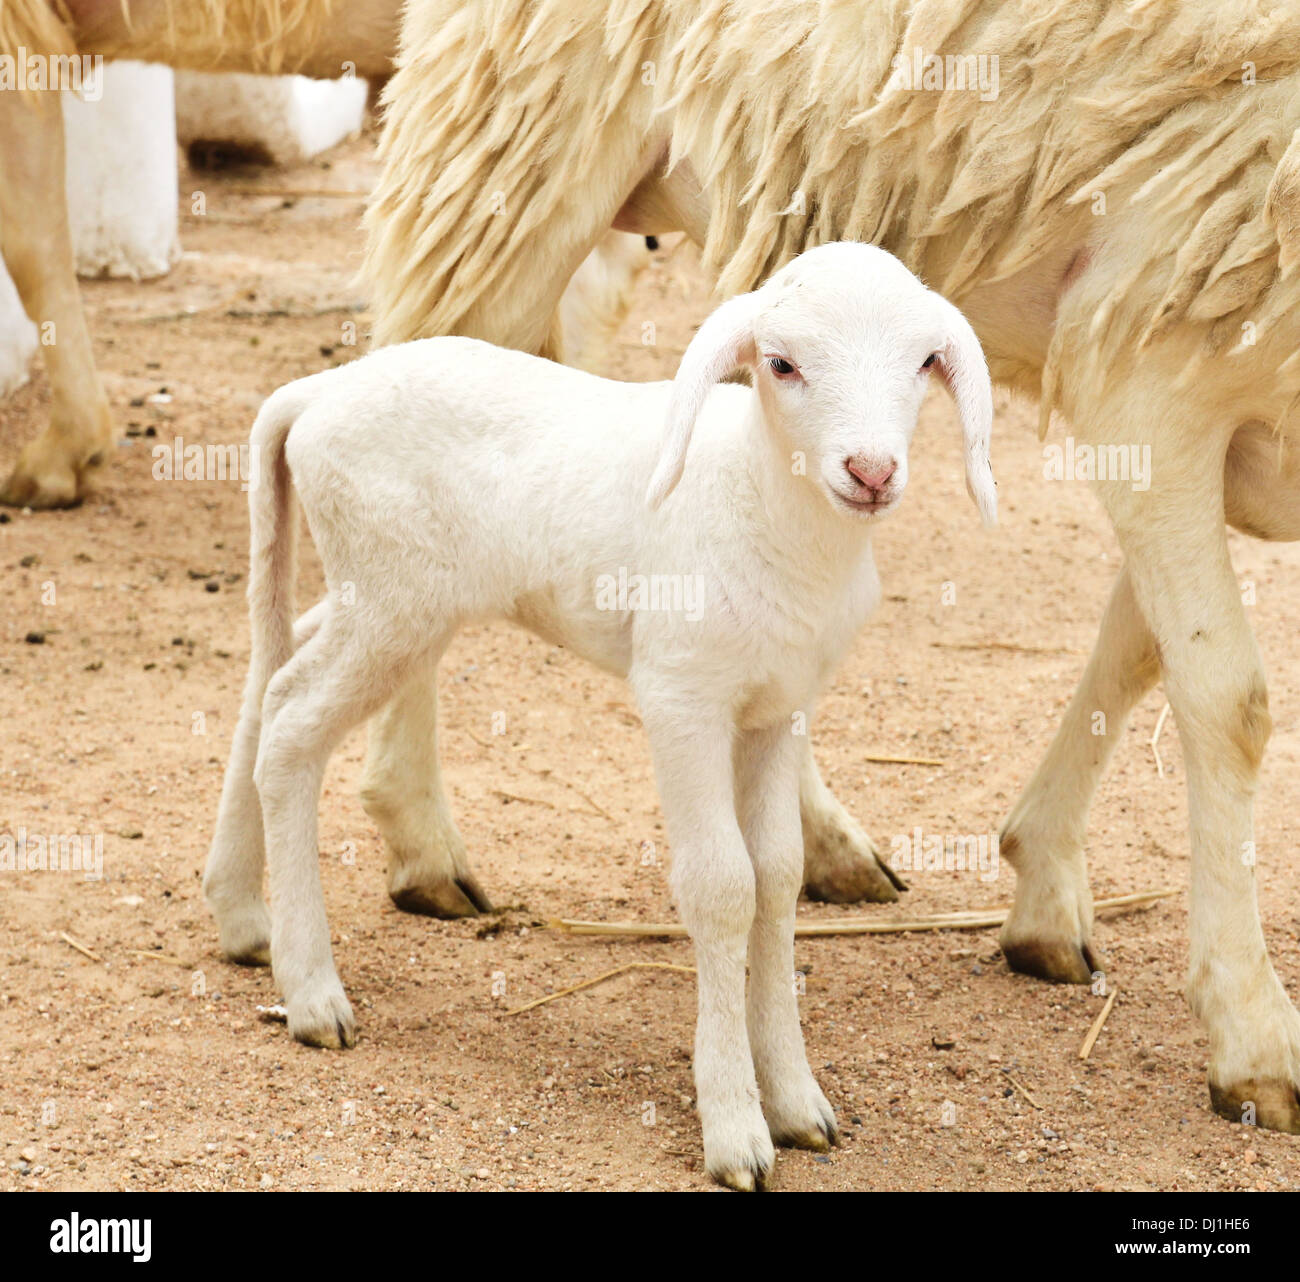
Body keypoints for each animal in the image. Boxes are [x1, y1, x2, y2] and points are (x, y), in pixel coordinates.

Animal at [202, 241, 997, 1189]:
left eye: (923, 362)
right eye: (781, 364)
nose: (870, 472)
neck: (762, 502)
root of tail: (316, 393)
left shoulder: (778, 709)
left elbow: (776, 877)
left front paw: (798, 1100)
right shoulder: (680, 695)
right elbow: (722, 887)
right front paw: (735, 1124)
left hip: (383, 597)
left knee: (271, 676)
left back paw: (242, 916)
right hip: (392, 597)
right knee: (292, 726)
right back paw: (314, 993)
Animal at [363, 0, 1300, 1136]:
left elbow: (1135, 655)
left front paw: (1042, 893)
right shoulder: (1152, 357)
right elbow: (1226, 697)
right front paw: (1253, 1033)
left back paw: (820, 842)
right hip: (509, 155)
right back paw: (421, 839)